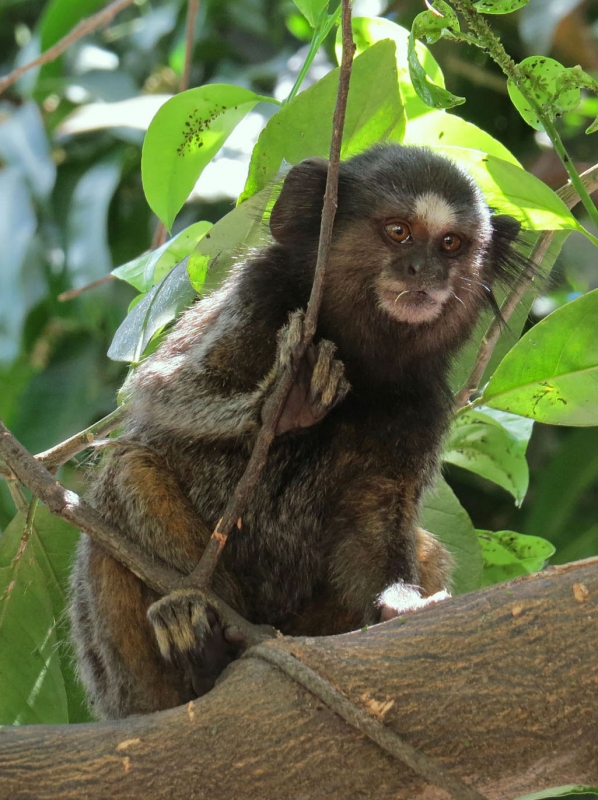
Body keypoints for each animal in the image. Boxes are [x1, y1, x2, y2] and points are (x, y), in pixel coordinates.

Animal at [69, 143, 524, 719]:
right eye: (398, 232)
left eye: (451, 244)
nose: (425, 270)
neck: (359, 351)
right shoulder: (257, 298)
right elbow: (158, 391)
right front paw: (282, 406)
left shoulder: (421, 403)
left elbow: (377, 516)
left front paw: (399, 604)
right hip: (119, 677)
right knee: (128, 472)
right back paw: (198, 637)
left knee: (428, 551)